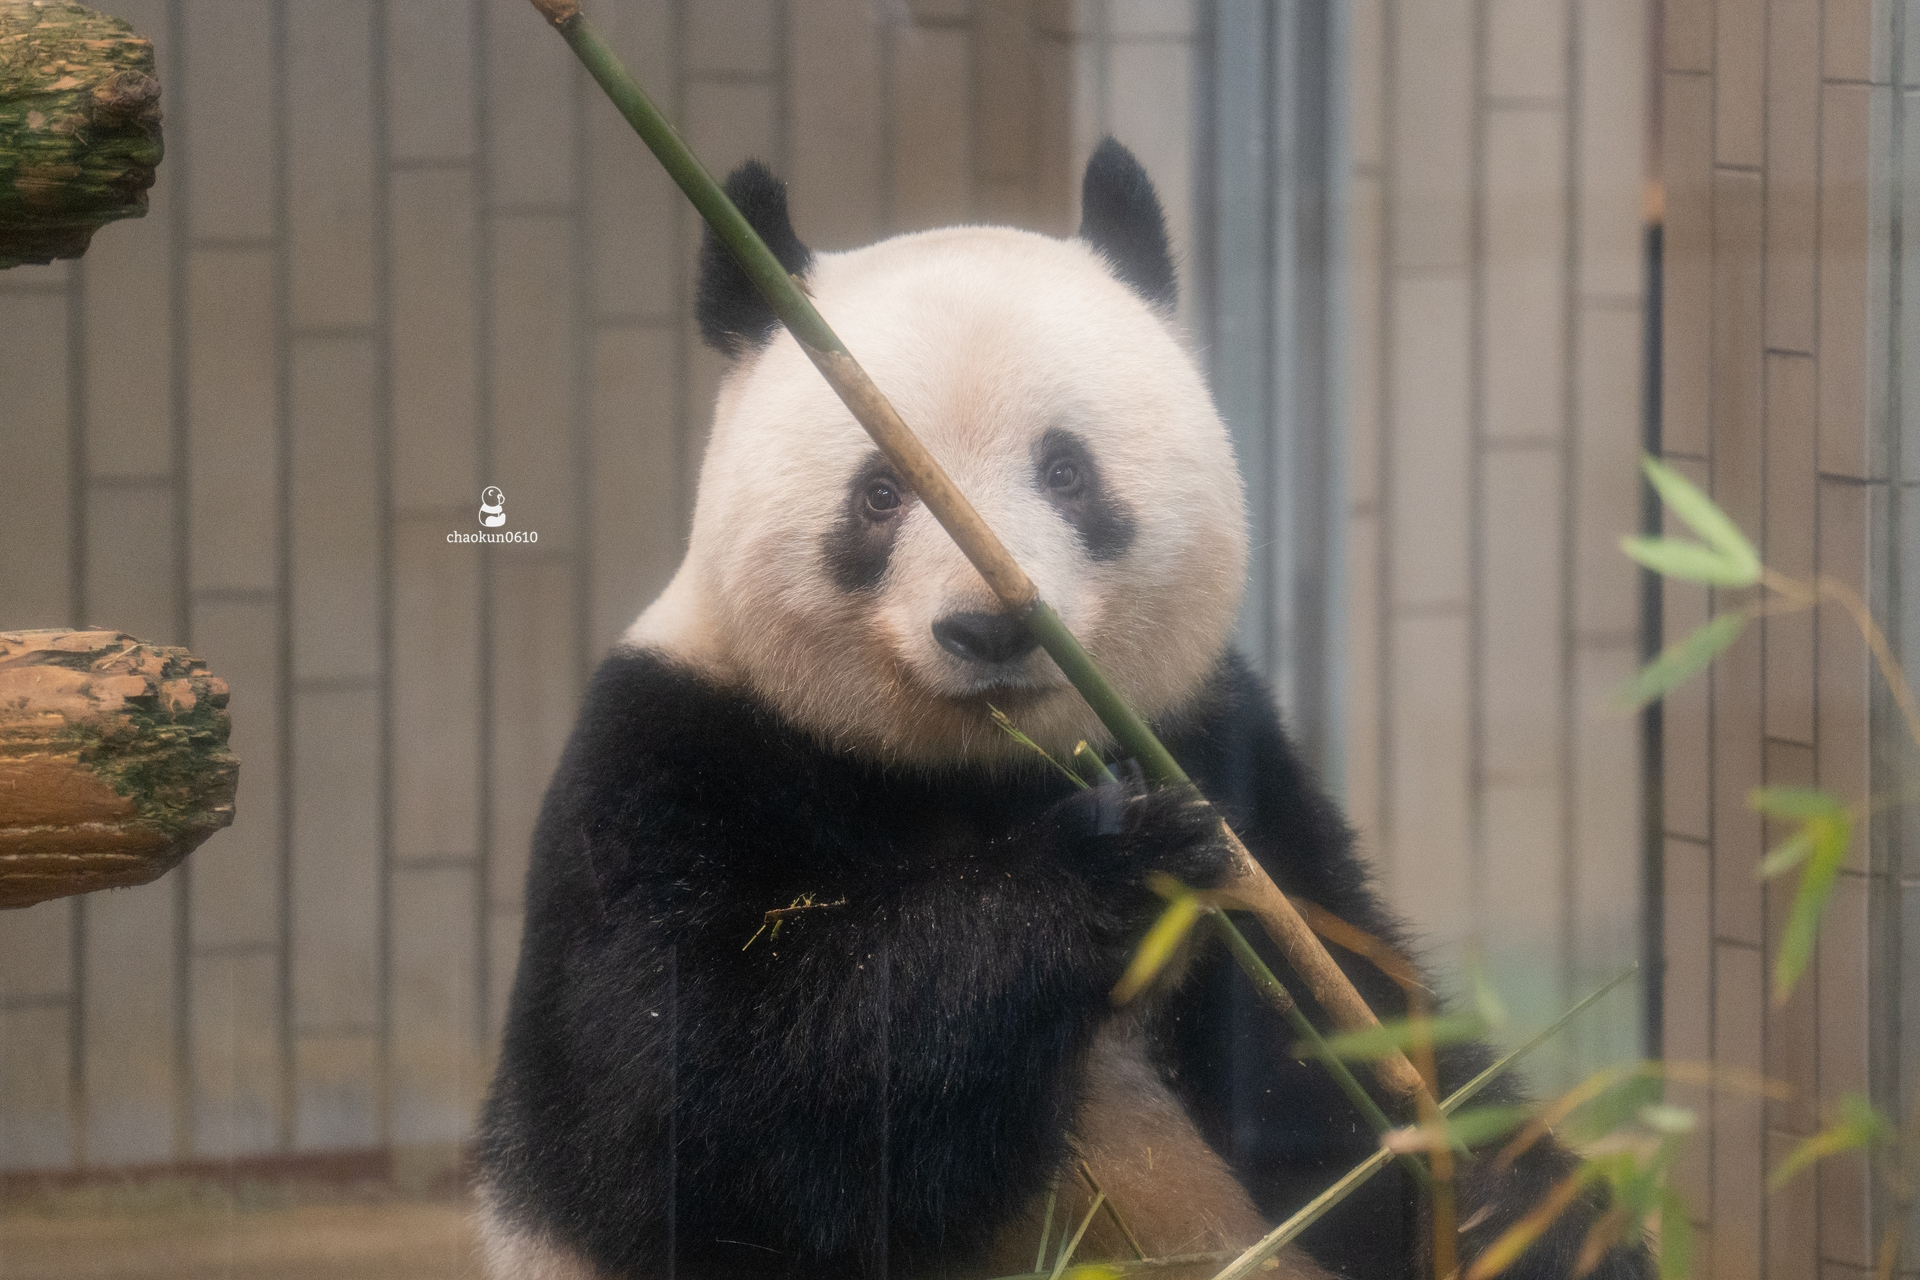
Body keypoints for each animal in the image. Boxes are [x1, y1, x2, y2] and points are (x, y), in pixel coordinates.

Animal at [474, 139, 1653, 1280]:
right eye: (879, 494)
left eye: (1066, 471)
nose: (988, 629)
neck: (975, 767)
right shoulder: (669, 763)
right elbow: (695, 1100)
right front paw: (1108, 858)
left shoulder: (1220, 749)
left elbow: (1331, 1044)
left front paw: (1516, 1209)